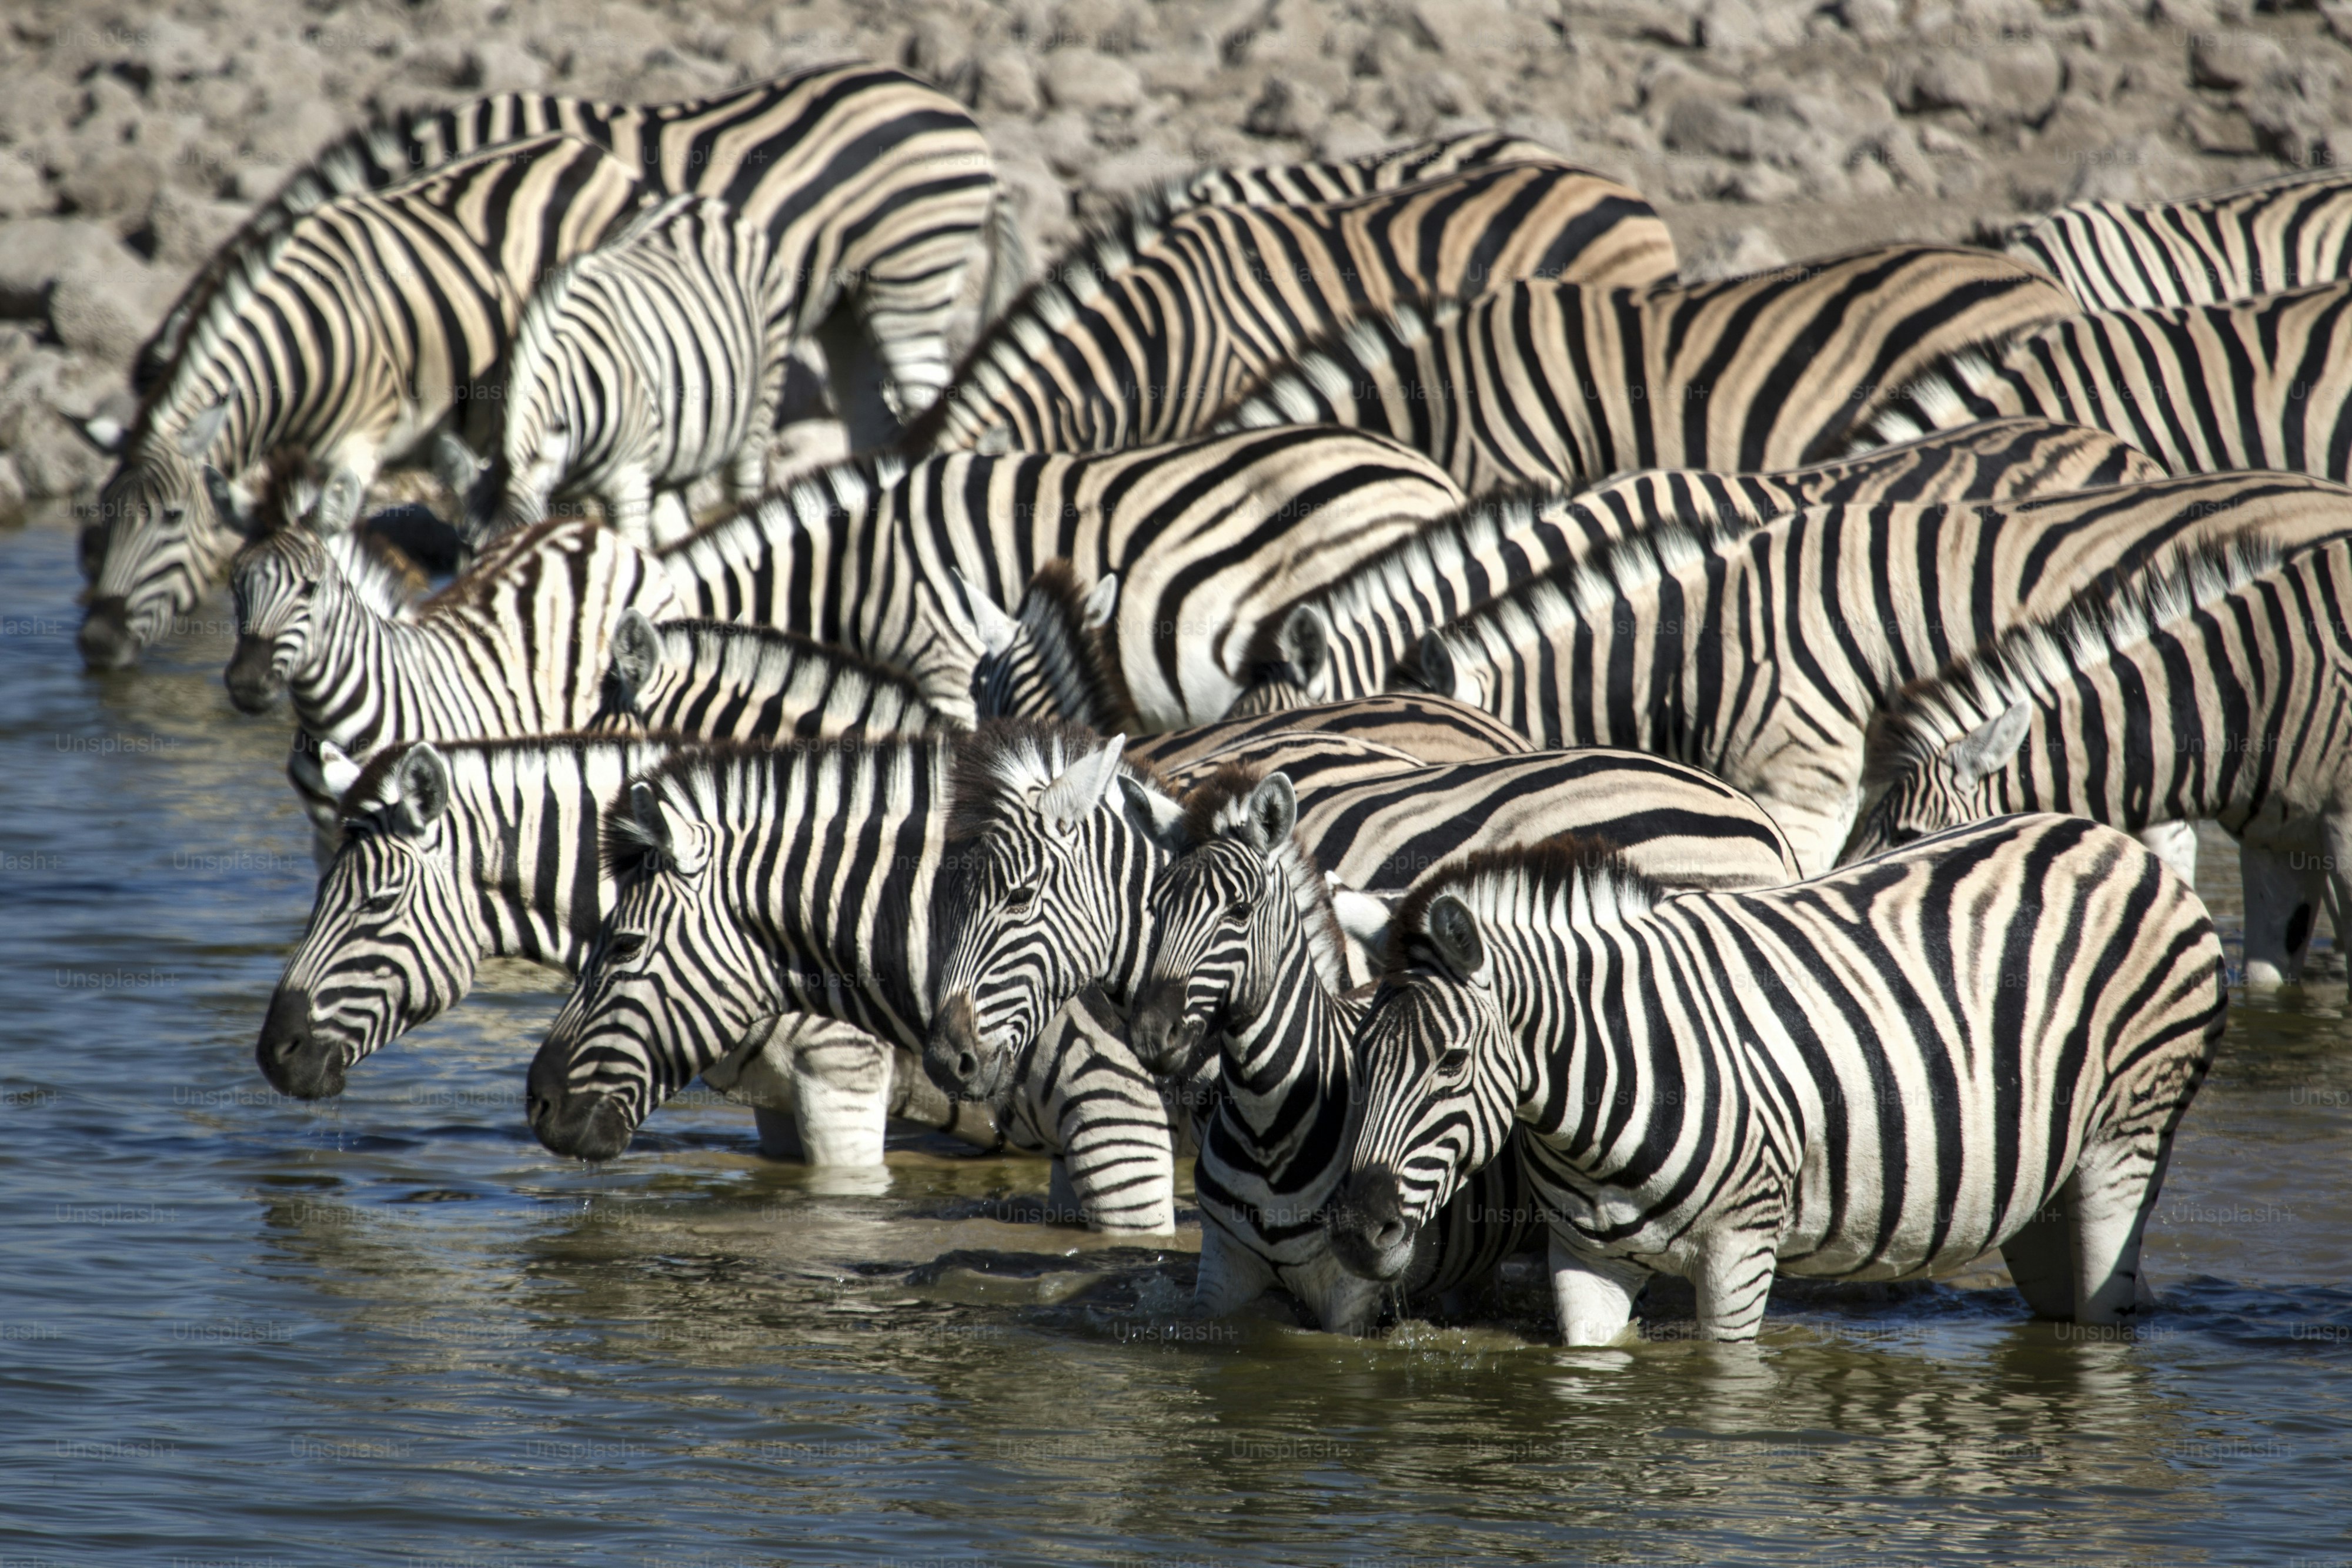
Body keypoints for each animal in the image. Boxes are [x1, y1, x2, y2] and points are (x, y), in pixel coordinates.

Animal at [81, 134, 650, 671]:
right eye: (105, 513)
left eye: (172, 518)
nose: (98, 644)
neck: (307, 346)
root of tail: (592, 151)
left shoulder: (356, 448)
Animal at [1130, 761, 1801, 1332]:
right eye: (1153, 906)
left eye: (1239, 911)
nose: (1152, 1032)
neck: (1268, 1125)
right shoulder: (1223, 1271)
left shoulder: (1349, 1295)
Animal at [1327, 818, 2227, 1342]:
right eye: (1360, 1057)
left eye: (1450, 1061)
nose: (1358, 1234)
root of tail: (2113, 839)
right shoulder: (1585, 1255)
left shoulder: (1741, 1246)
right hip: (2042, 1181)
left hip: (2129, 1133)